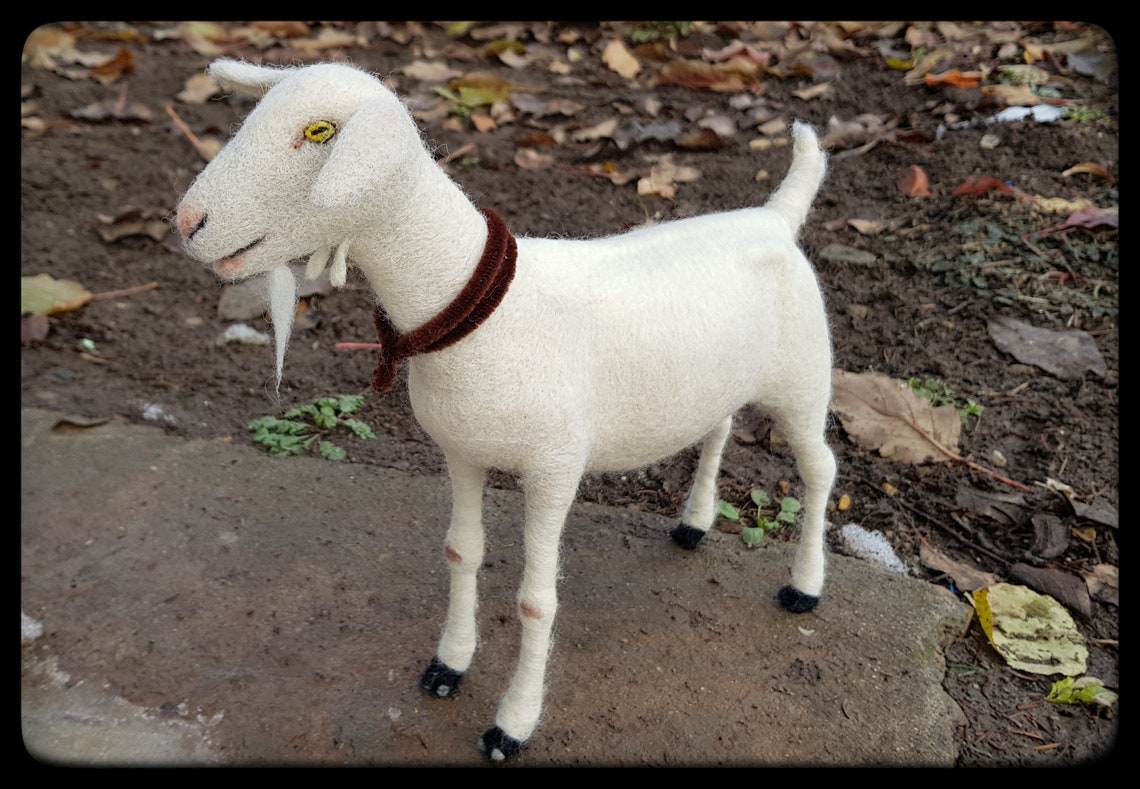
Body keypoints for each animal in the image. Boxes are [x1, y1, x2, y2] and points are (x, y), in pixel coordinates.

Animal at [175, 59, 836, 761]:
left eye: (320, 131)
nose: (187, 220)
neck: (479, 306)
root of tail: (773, 217)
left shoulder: (554, 470)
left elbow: (536, 602)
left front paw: (512, 723)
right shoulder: (461, 453)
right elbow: (462, 552)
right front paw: (449, 664)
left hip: (802, 382)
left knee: (820, 469)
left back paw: (804, 586)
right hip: (718, 378)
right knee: (719, 426)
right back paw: (694, 523)